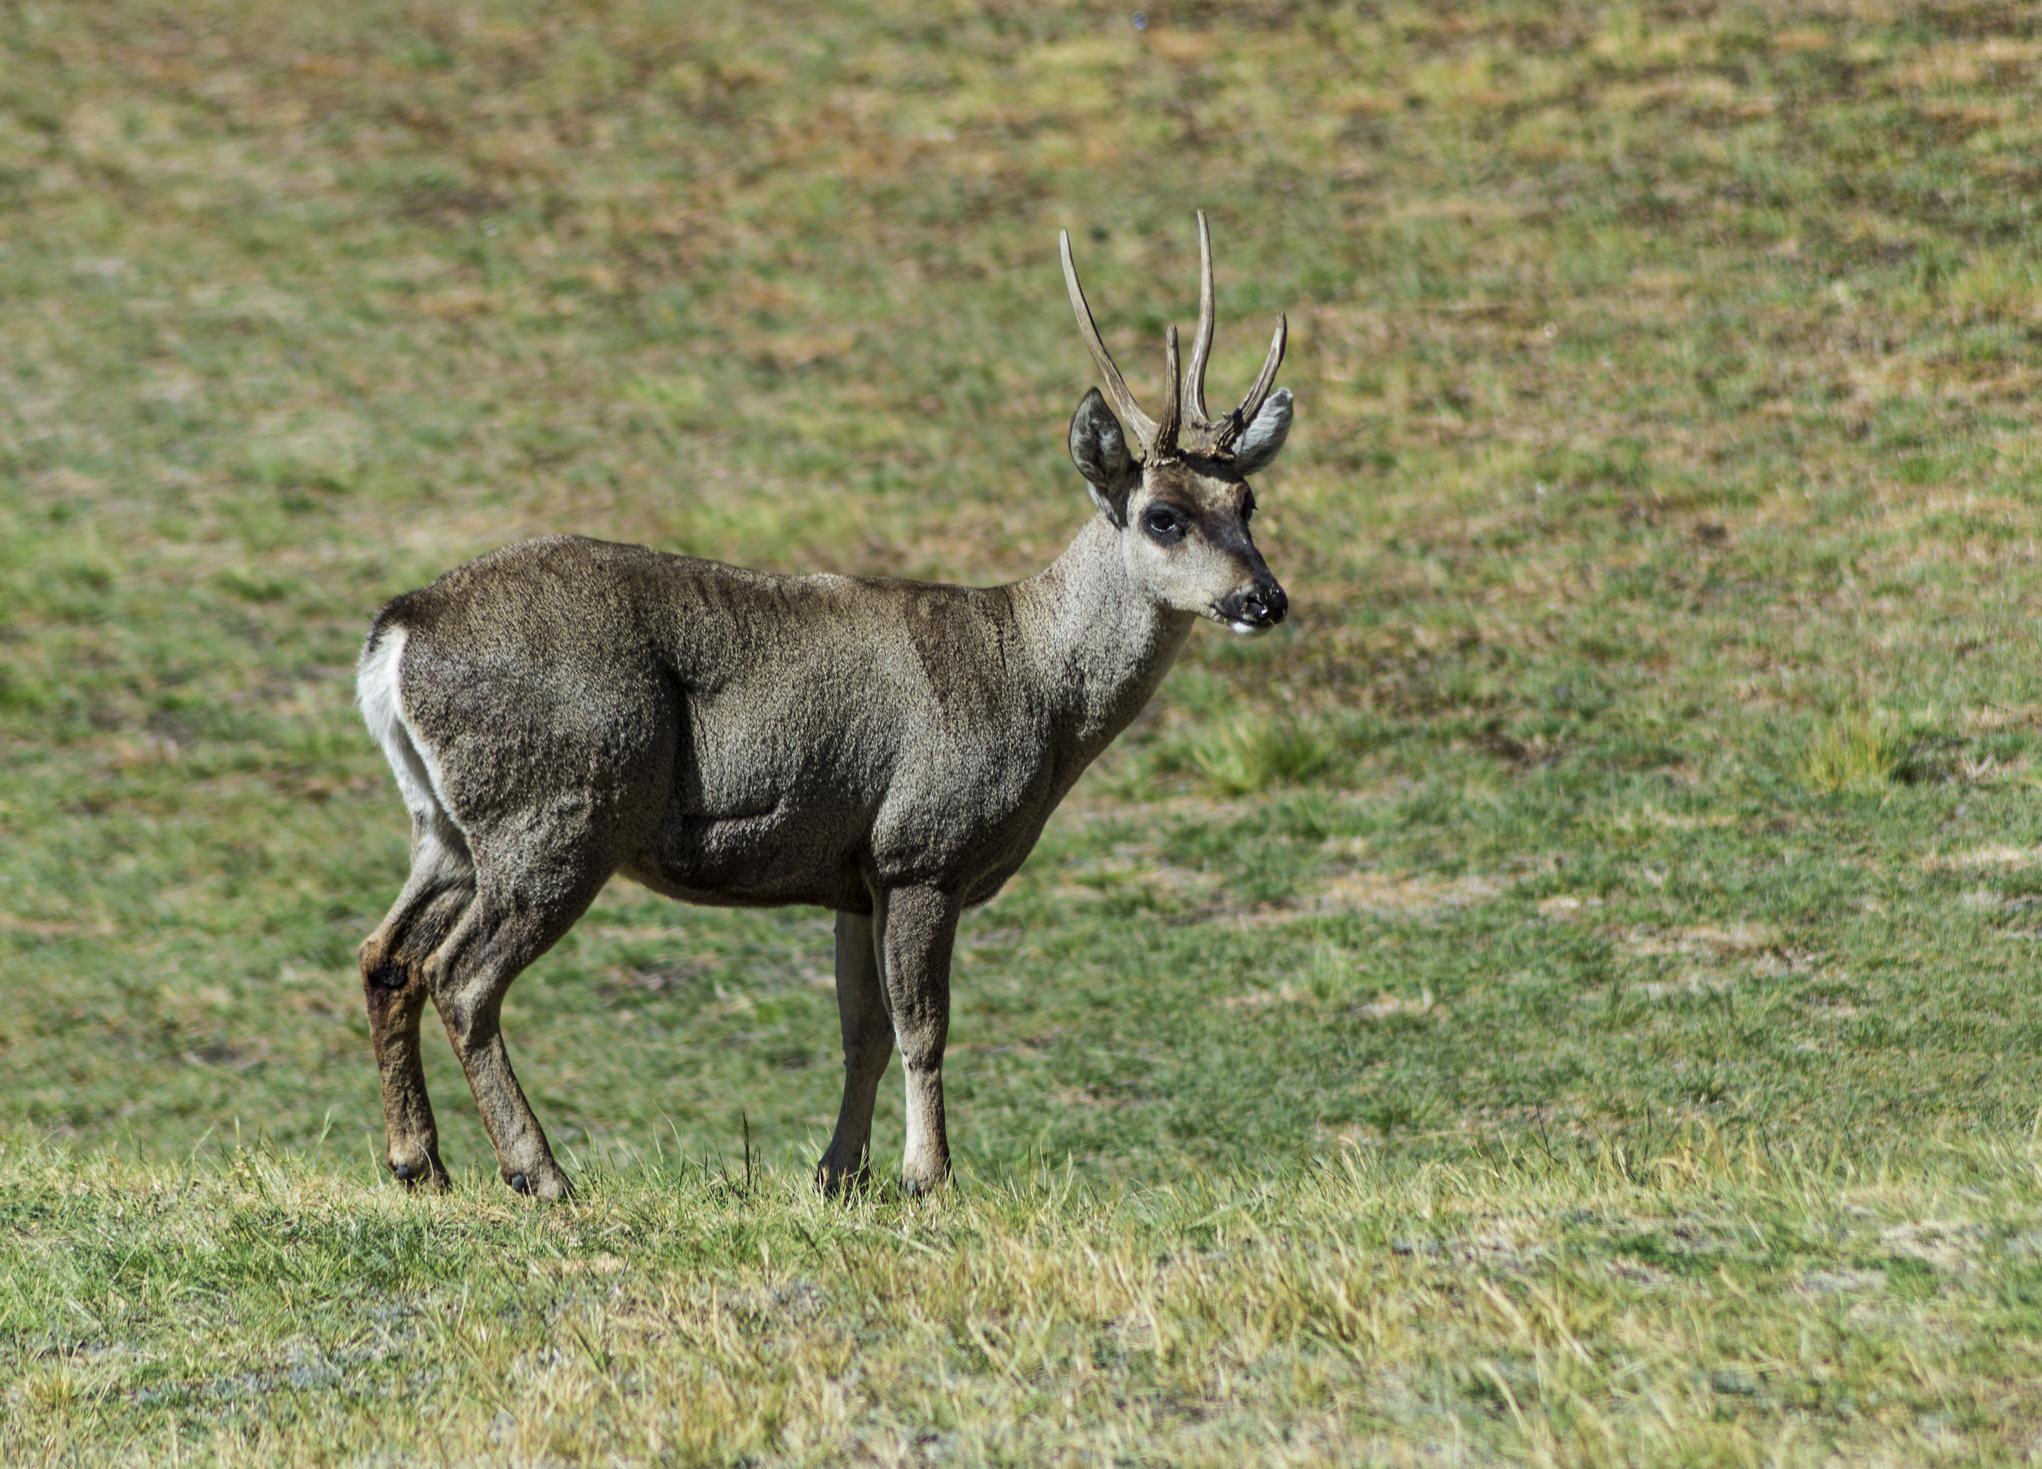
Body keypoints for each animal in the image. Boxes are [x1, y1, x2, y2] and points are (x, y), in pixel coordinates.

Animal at [354, 213, 1294, 1200]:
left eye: (1248, 500)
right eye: (1163, 516)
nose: (1265, 598)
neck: (1035, 683)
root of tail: (398, 631)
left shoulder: (855, 869)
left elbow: (863, 1033)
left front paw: (839, 1174)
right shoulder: (923, 847)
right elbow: (924, 1027)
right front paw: (928, 1176)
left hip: (447, 824)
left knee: (386, 957)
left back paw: (419, 1161)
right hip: (557, 810)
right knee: (461, 975)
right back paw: (539, 1171)